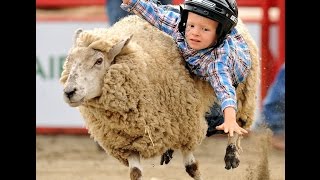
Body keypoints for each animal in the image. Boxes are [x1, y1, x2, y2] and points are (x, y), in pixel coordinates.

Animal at [60, 14, 260, 180]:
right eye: (70, 60)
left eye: (99, 61)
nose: (69, 91)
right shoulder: (129, 143)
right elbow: (135, 173)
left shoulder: (187, 129)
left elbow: (193, 168)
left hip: (244, 93)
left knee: (239, 119)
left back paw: (232, 153)